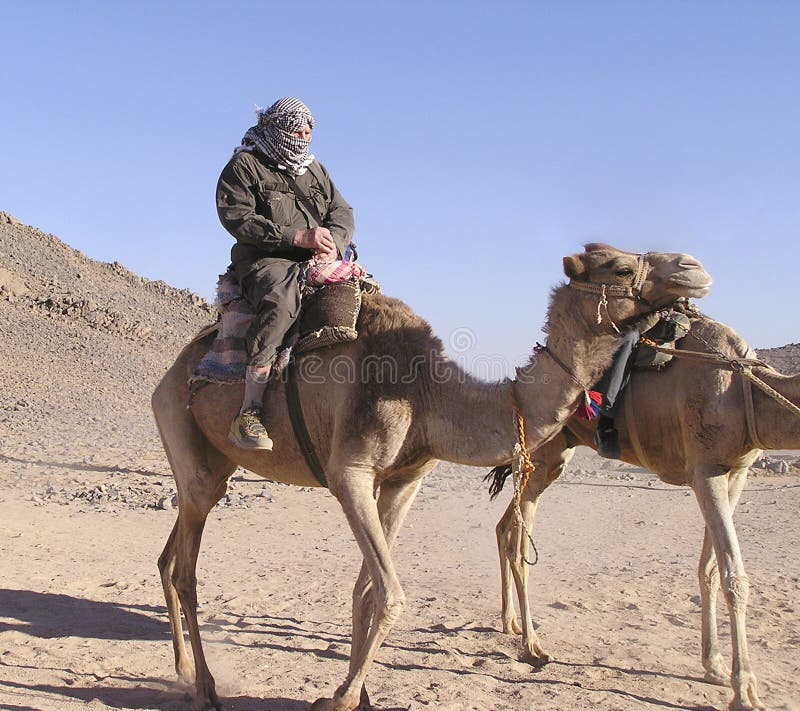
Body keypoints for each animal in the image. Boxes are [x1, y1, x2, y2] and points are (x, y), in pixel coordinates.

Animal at [151, 244, 711, 711]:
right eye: (618, 266)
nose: (694, 268)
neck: (427, 393)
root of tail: (173, 371)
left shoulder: (405, 479)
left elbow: (365, 590)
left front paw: (356, 690)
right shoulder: (350, 472)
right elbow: (391, 594)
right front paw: (342, 698)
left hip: (212, 463)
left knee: (172, 551)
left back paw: (182, 669)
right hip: (181, 428)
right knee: (186, 570)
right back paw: (204, 688)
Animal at [494, 313, 800, 711]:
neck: (747, 392)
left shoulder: (736, 471)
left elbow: (709, 569)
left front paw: (714, 666)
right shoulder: (705, 469)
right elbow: (734, 577)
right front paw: (745, 690)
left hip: (552, 455)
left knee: (504, 529)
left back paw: (510, 623)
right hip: (539, 456)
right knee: (518, 545)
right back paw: (532, 645)